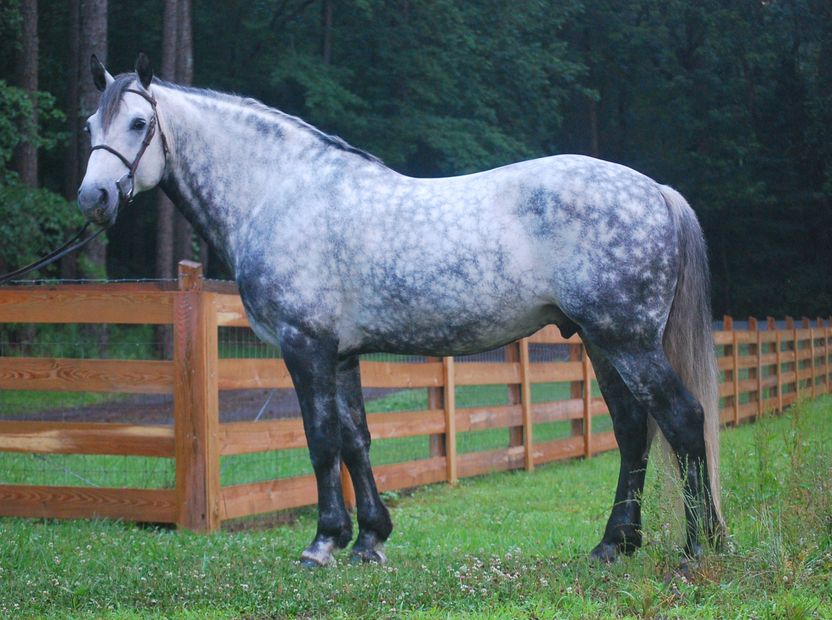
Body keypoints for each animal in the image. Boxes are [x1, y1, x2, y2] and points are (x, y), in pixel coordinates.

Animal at [78, 54, 724, 566]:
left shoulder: (304, 346)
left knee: (682, 419)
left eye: (139, 123)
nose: (94, 198)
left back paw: (700, 546)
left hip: (625, 340)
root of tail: (655, 191)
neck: (280, 193)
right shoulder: (341, 355)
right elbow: (356, 440)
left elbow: (321, 441)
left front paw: (322, 543)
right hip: (599, 340)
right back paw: (614, 544)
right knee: (633, 428)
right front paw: (369, 540)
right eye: (90, 124)